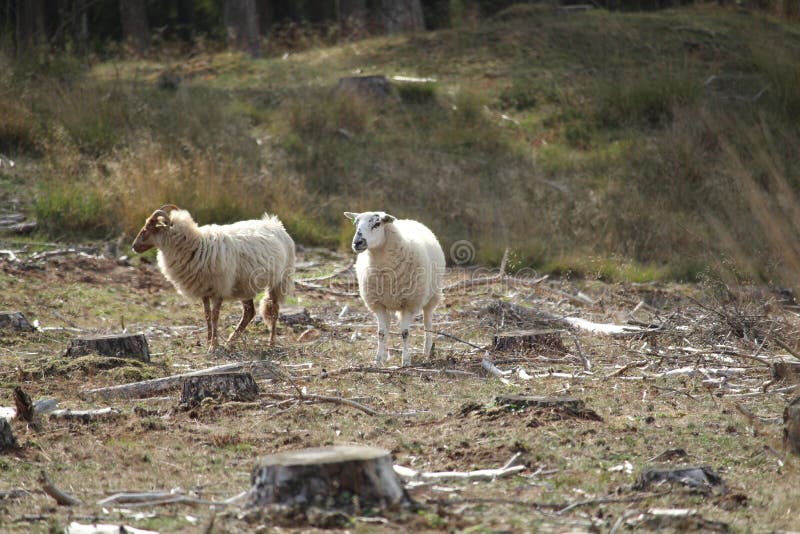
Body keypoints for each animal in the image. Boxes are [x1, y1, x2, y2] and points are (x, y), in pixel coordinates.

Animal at [132, 205, 295, 349]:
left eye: (147, 229)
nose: (134, 247)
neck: (196, 245)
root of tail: (275, 223)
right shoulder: (204, 289)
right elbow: (207, 315)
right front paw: (209, 341)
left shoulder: (219, 289)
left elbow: (215, 316)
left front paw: (213, 345)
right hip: (245, 286)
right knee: (249, 313)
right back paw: (230, 341)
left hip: (280, 280)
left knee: (273, 311)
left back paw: (271, 343)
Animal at [344, 211, 446, 366]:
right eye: (356, 224)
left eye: (377, 224)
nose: (357, 243)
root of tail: (410, 220)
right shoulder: (378, 304)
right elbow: (381, 333)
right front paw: (378, 360)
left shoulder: (409, 304)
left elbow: (405, 333)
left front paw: (406, 361)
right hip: (388, 301)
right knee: (387, 326)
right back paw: (386, 356)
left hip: (432, 296)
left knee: (427, 323)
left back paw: (427, 351)